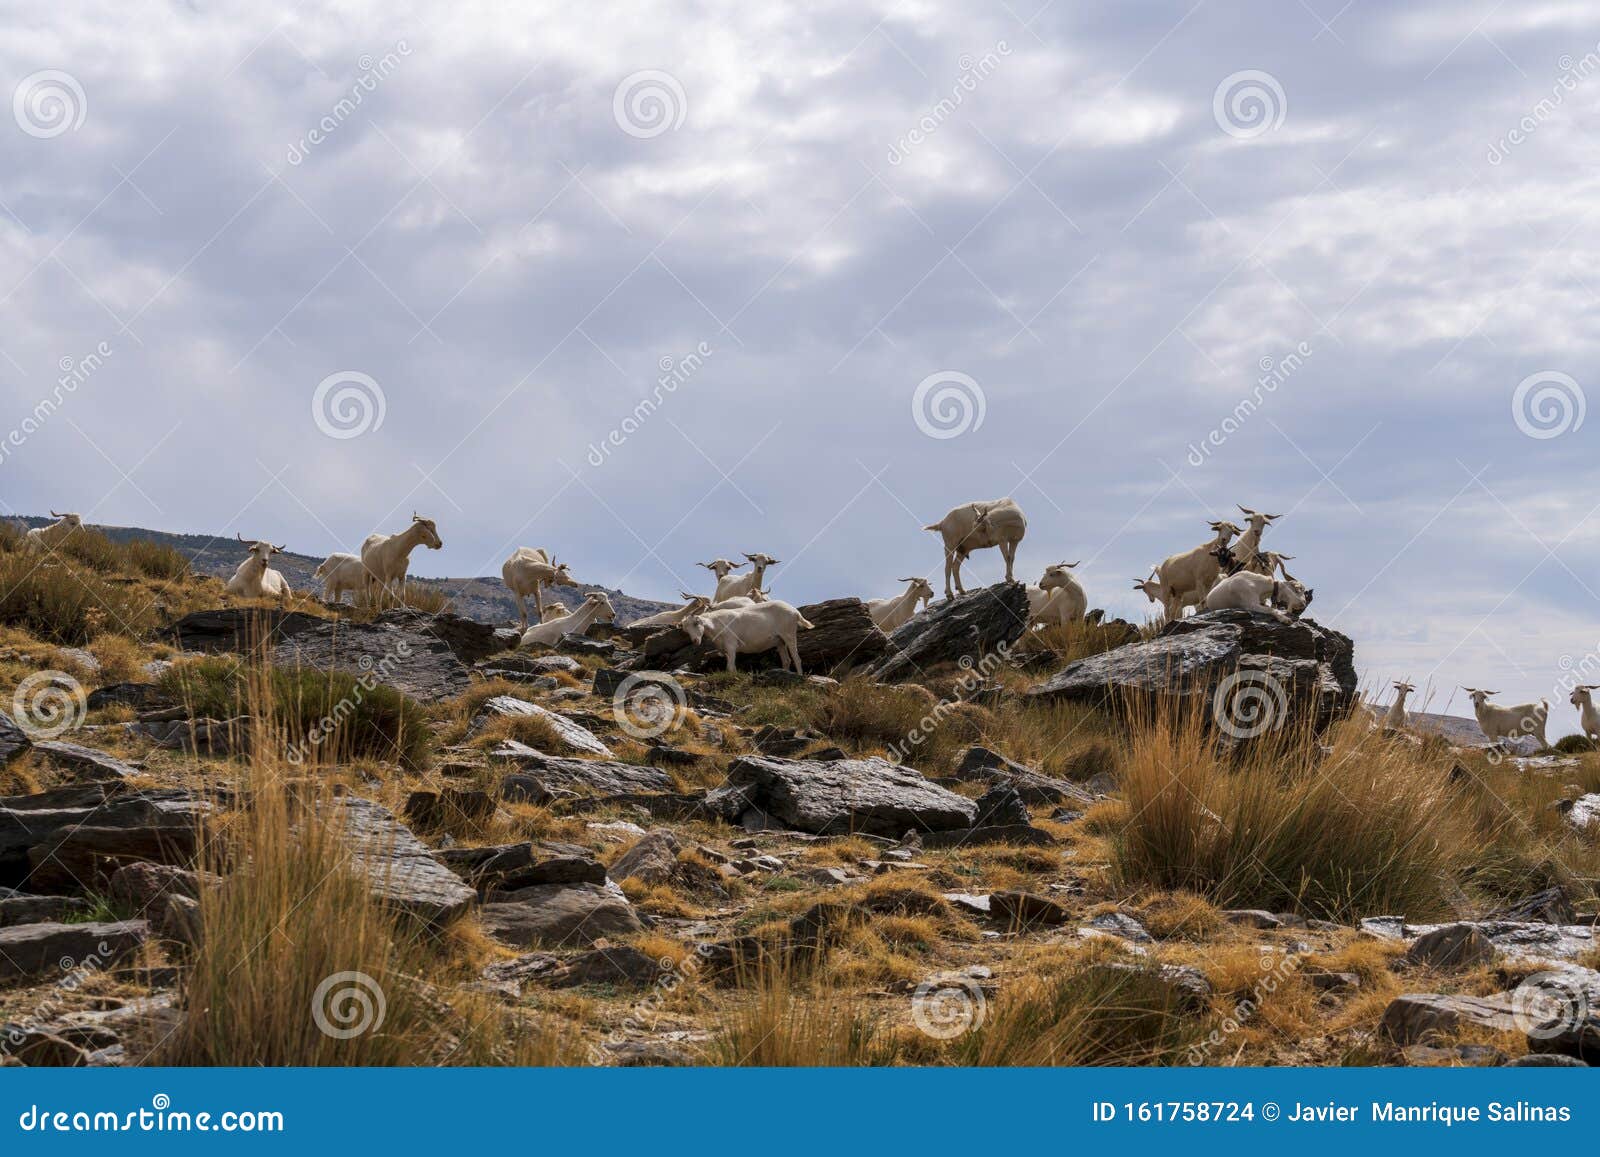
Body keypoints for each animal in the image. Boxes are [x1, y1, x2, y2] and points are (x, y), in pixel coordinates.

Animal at [681, 599, 815, 674]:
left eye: (696, 623)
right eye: (685, 630)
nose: (695, 640)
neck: (717, 623)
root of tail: (795, 612)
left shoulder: (731, 645)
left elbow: (730, 667)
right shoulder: (725, 650)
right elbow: (731, 667)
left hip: (789, 635)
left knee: (796, 658)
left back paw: (800, 676)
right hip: (780, 641)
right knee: (786, 660)